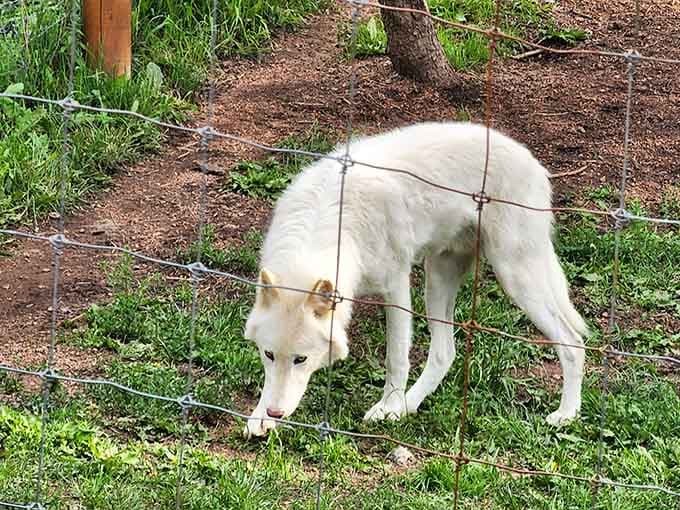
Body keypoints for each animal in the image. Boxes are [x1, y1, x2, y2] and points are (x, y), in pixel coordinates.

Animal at [243, 122, 588, 438]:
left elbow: (396, 357)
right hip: (437, 280)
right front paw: (260, 417)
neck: (331, 219)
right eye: (269, 354)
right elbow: (269, 383)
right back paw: (409, 406)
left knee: (573, 342)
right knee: (445, 352)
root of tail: (533, 161)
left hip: (514, 277)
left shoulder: (395, 286)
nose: (275, 412)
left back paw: (566, 415)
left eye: (301, 359)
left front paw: (388, 408)